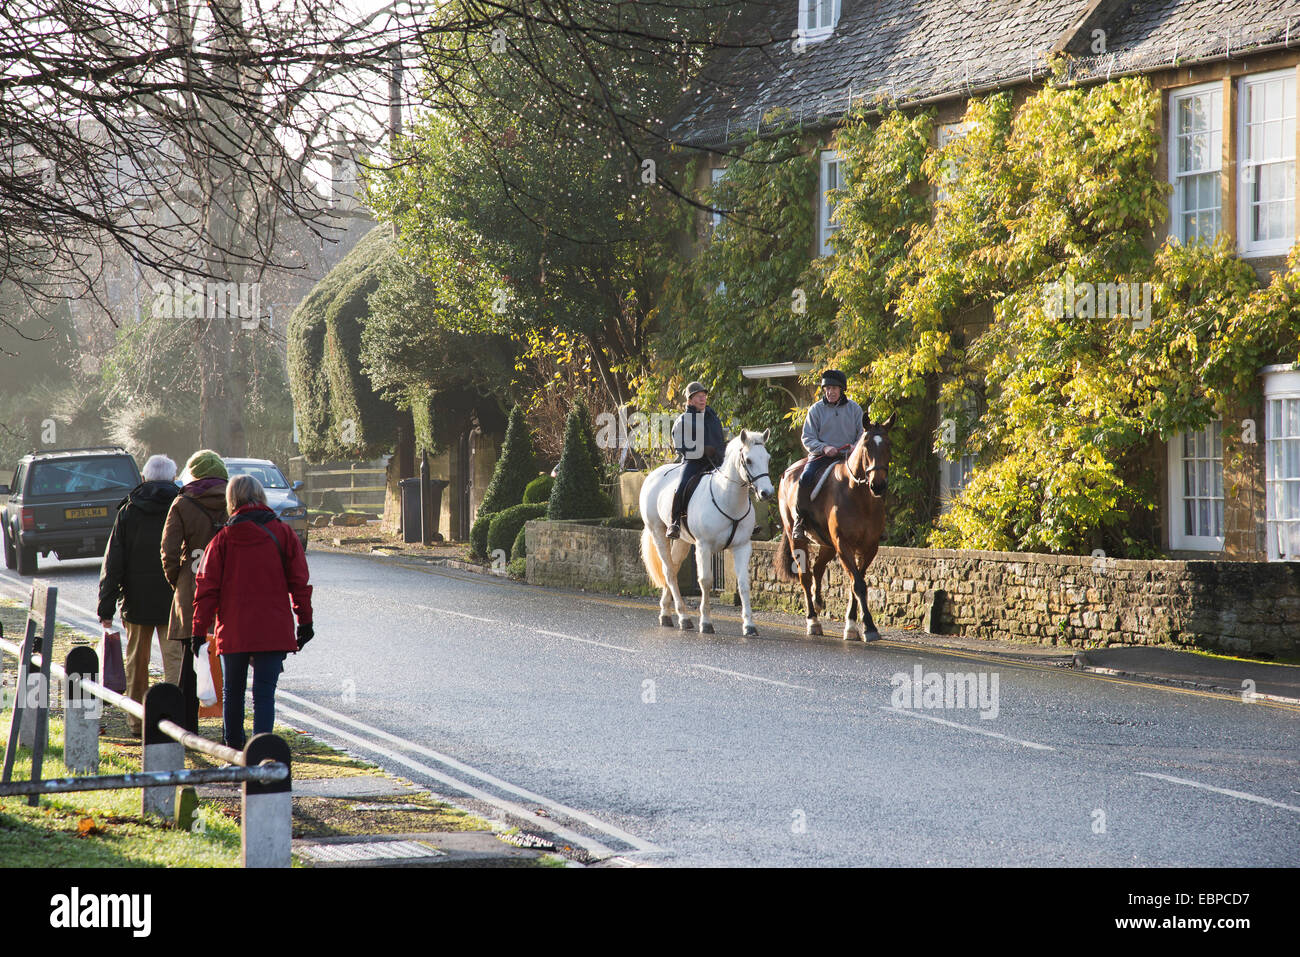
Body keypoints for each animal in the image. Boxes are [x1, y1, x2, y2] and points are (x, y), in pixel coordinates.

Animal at [640, 430, 775, 636]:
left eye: (767, 458)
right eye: (749, 460)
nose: (767, 492)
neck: (727, 498)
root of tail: (653, 474)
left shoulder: (742, 547)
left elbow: (744, 584)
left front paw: (749, 625)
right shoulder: (704, 546)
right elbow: (705, 581)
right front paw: (706, 622)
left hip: (682, 540)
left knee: (674, 567)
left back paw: (666, 614)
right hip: (658, 531)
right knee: (669, 571)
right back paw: (684, 617)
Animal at [775, 414, 894, 641]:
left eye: (888, 444)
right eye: (866, 445)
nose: (878, 485)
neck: (859, 497)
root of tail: (787, 472)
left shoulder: (869, 547)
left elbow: (856, 583)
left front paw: (852, 625)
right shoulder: (843, 544)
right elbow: (858, 584)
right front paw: (869, 627)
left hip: (827, 545)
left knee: (817, 568)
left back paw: (818, 601)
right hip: (798, 539)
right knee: (805, 576)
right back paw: (812, 621)